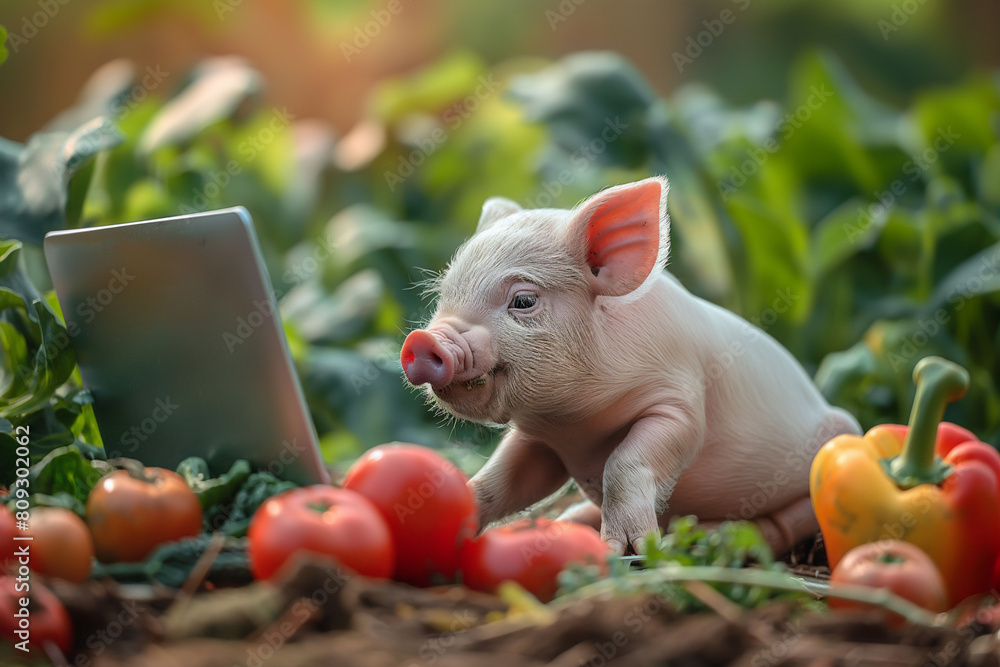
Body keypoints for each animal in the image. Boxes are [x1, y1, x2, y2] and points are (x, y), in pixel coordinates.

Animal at [399, 176, 860, 555]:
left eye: (524, 300)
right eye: (444, 295)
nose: (422, 341)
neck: (575, 424)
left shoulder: (679, 402)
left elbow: (625, 461)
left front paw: (628, 549)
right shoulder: (539, 441)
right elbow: (501, 480)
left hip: (829, 452)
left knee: (793, 516)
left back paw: (707, 539)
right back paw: (574, 521)